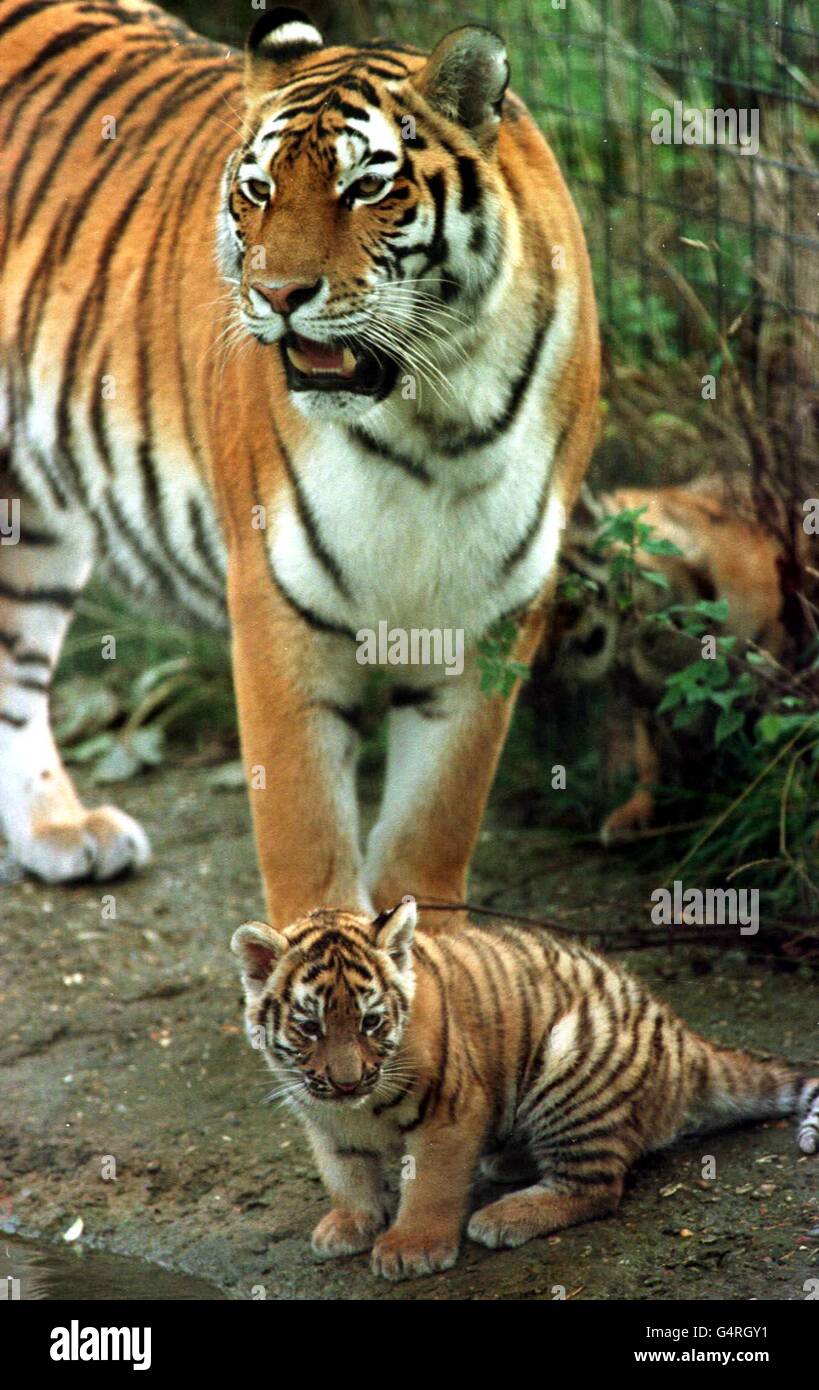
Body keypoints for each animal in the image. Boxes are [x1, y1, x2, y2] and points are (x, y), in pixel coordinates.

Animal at [0, 1, 599, 925]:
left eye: (366, 188)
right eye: (258, 190)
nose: (278, 294)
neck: (436, 414)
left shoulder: (491, 613)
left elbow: (432, 835)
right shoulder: (277, 602)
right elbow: (307, 847)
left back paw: (55, 831)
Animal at [232, 895, 819, 1280]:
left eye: (371, 1022)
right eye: (310, 1028)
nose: (347, 1079)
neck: (357, 1108)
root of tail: (683, 1036)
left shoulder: (449, 1112)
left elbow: (430, 1184)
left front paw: (412, 1248)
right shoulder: (324, 1121)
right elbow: (346, 1173)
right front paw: (349, 1223)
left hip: (571, 1067)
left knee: (597, 1186)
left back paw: (504, 1215)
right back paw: (507, 1162)